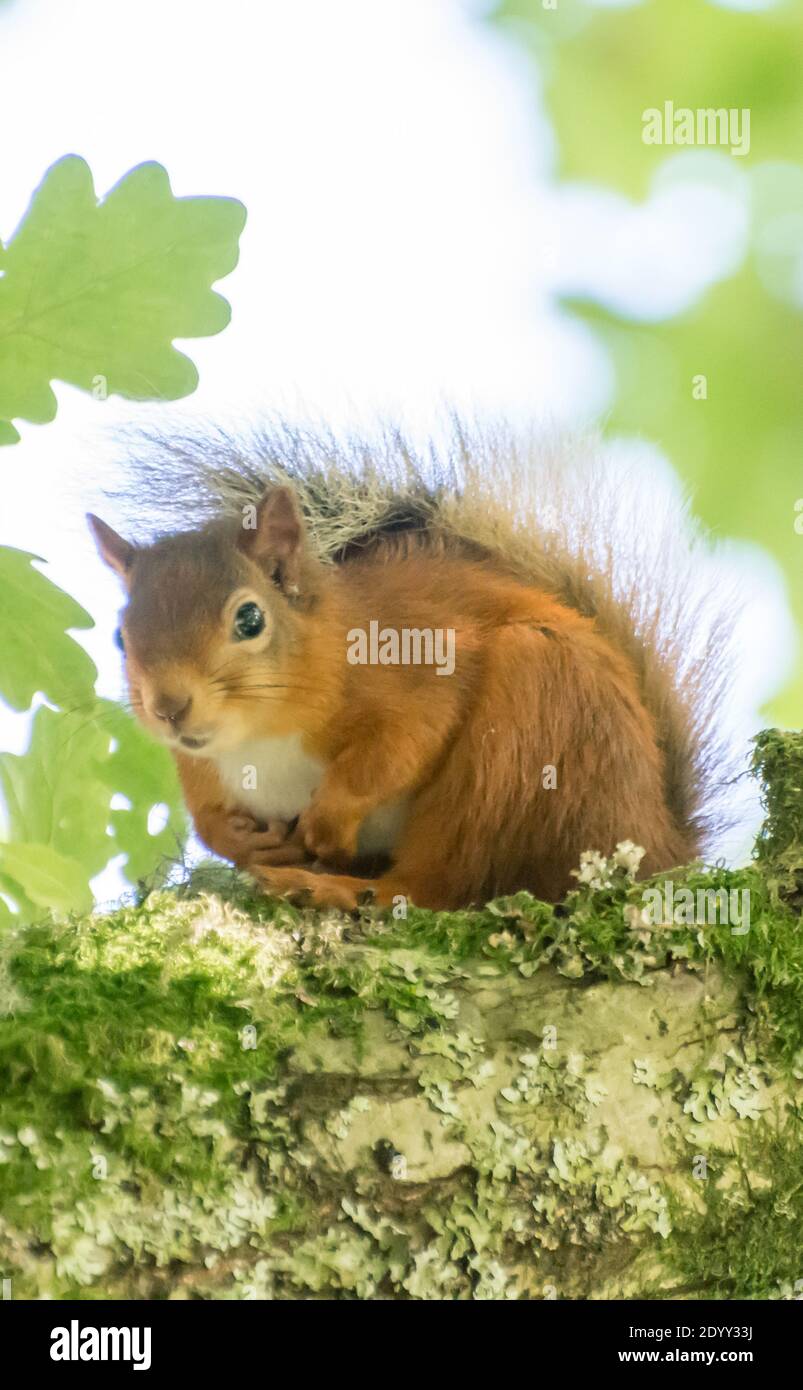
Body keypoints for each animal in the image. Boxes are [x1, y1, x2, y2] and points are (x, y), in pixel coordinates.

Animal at [87, 421, 734, 913]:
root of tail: (658, 845)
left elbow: (401, 743)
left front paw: (328, 819)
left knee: (438, 885)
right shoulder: (199, 768)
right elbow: (207, 821)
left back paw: (331, 886)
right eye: (119, 636)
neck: (260, 739)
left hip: (531, 724)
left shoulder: (416, 667)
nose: (169, 708)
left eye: (250, 619)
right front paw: (242, 843)